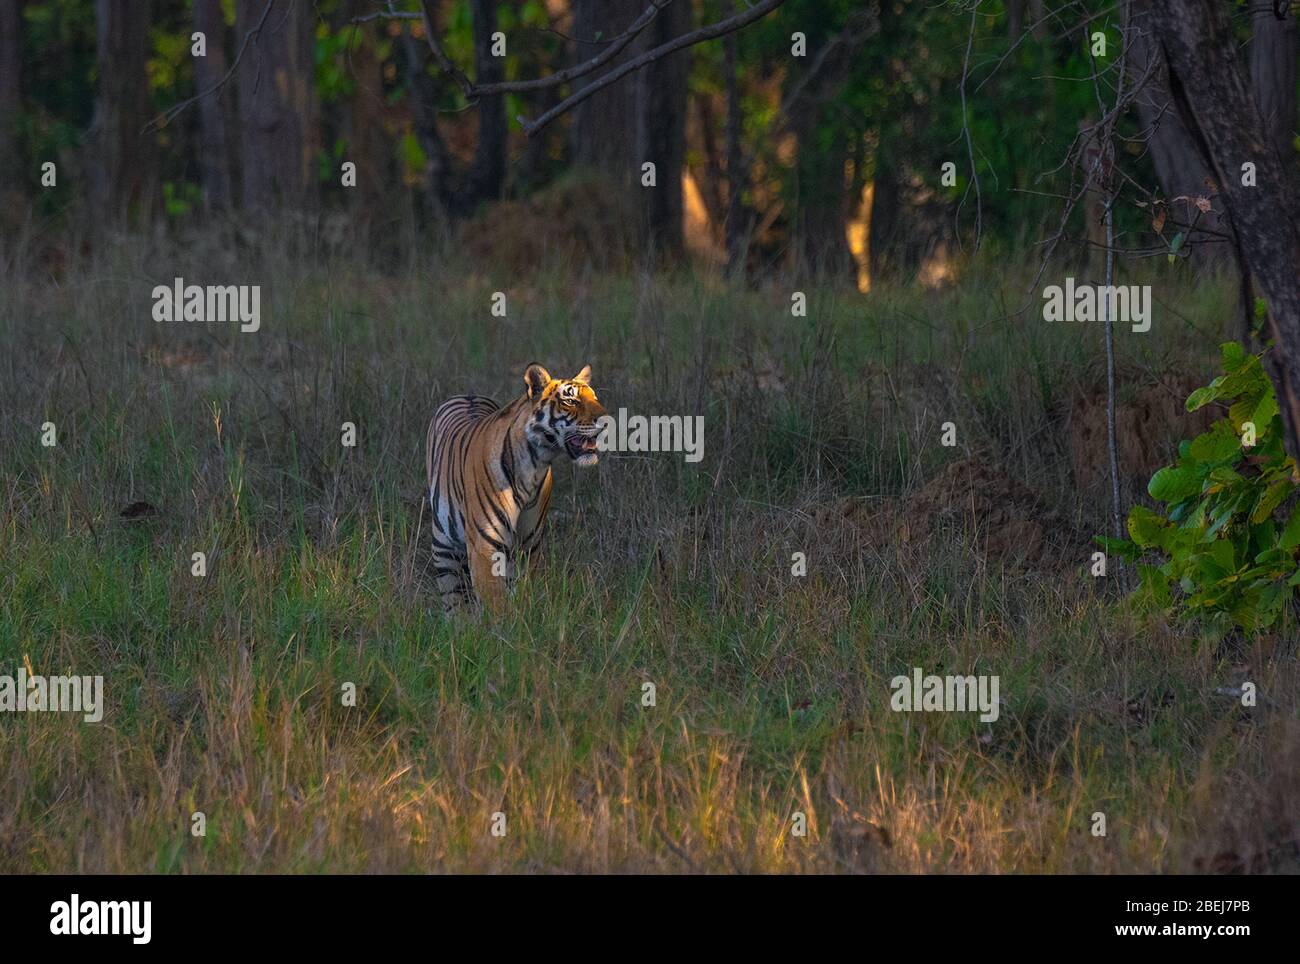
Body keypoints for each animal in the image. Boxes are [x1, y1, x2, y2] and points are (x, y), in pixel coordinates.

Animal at [425, 363, 606, 611]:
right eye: (570, 400)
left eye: (594, 398)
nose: (606, 420)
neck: (535, 464)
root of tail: (467, 395)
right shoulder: (485, 544)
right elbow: (495, 602)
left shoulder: (529, 544)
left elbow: (521, 591)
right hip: (444, 550)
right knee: (454, 600)